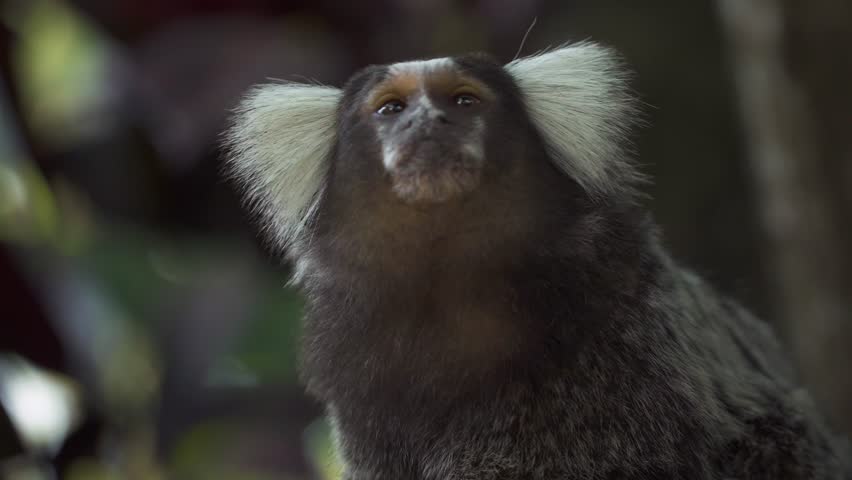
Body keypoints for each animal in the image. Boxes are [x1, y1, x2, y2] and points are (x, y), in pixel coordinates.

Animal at [224, 43, 852, 479]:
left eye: (463, 101)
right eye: (390, 108)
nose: (425, 123)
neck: (453, 290)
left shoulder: (639, 336)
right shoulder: (362, 393)